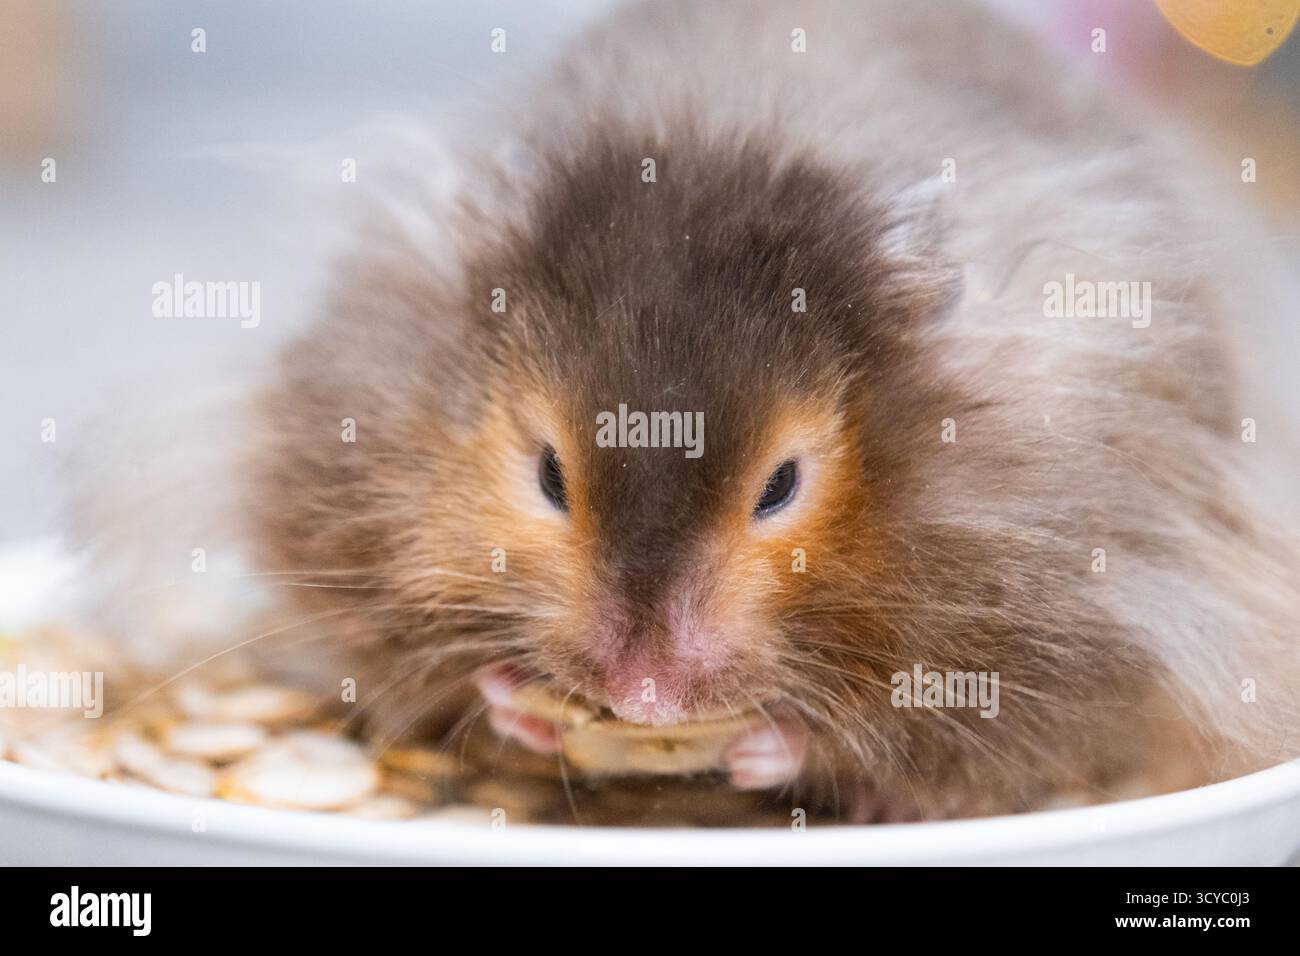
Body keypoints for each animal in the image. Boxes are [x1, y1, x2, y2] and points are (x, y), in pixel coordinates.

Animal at [175, 0, 1298, 820]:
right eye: (548, 475)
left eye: (781, 488)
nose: (644, 700)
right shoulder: (338, 502)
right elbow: (417, 653)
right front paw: (520, 705)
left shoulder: (1072, 622)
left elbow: (936, 726)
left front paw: (763, 746)